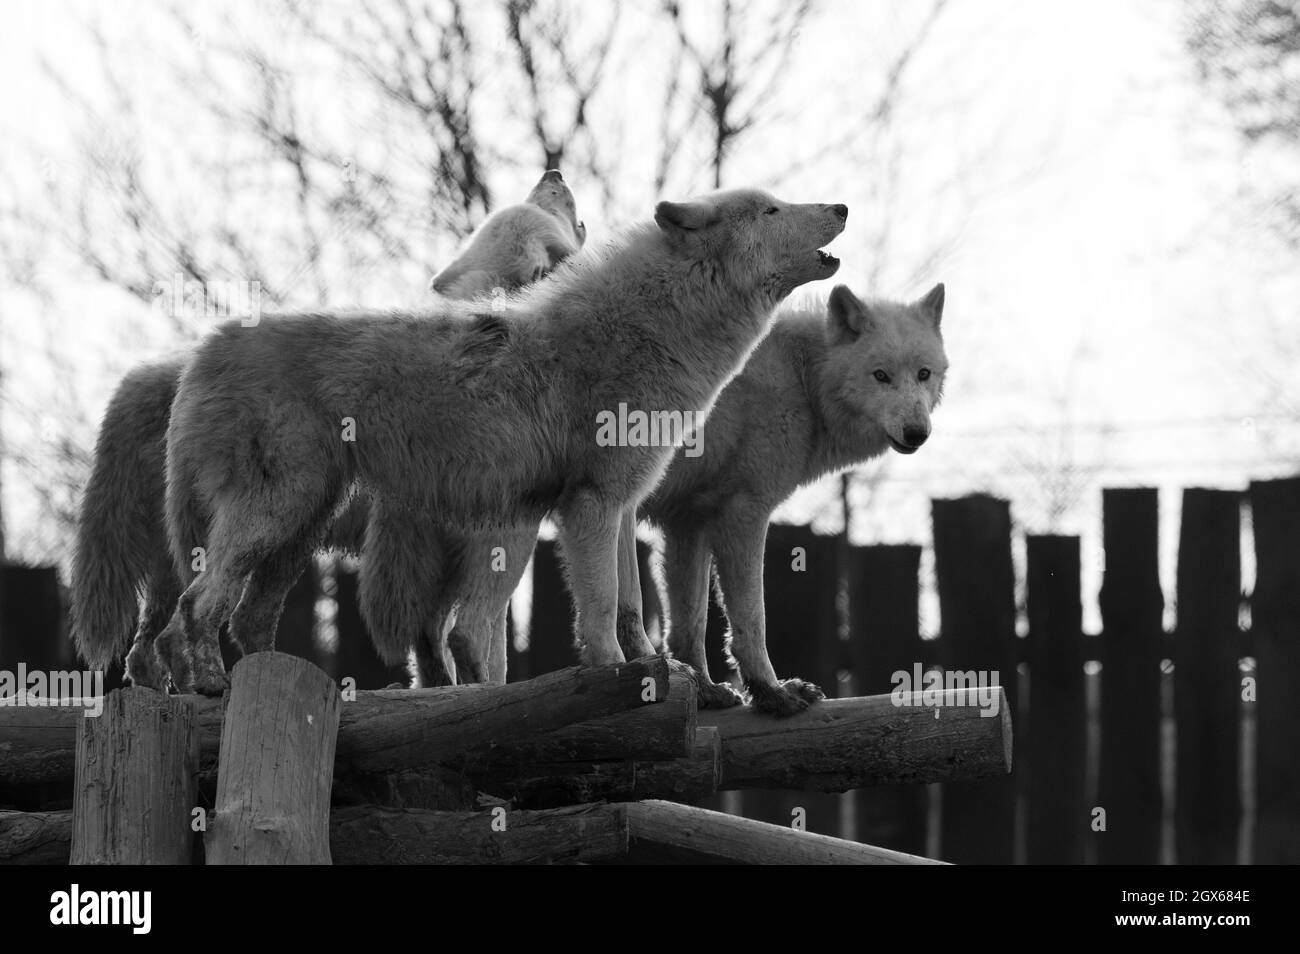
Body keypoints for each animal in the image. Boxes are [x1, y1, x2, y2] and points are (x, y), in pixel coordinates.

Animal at [153, 190, 846, 694]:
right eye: (771, 209)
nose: (841, 207)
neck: (649, 329)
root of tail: (206, 346)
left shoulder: (618, 505)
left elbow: (630, 604)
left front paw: (659, 668)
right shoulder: (590, 505)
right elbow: (602, 608)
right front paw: (614, 672)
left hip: (303, 527)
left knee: (239, 619)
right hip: (281, 515)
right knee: (195, 606)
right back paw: (211, 686)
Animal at [421, 283, 948, 715]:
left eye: (924, 374)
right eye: (880, 376)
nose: (918, 433)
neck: (803, 380)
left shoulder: (686, 524)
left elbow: (689, 624)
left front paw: (707, 689)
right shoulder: (743, 514)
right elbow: (750, 619)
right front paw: (772, 692)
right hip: (520, 540)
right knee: (466, 632)